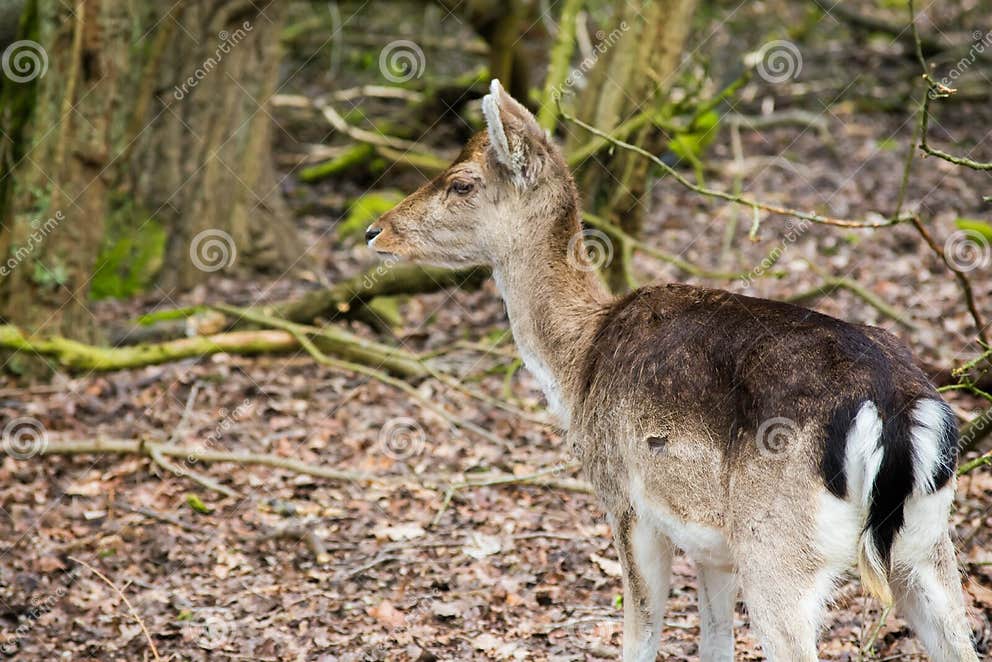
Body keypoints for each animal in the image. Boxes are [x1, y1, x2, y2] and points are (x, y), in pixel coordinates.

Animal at [364, 80, 979, 662]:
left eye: (461, 183)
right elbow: (715, 644)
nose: (375, 230)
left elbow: (640, 635)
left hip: (777, 550)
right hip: (926, 549)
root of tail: (897, 412)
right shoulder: (713, 546)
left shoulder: (624, 502)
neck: (580, 361)